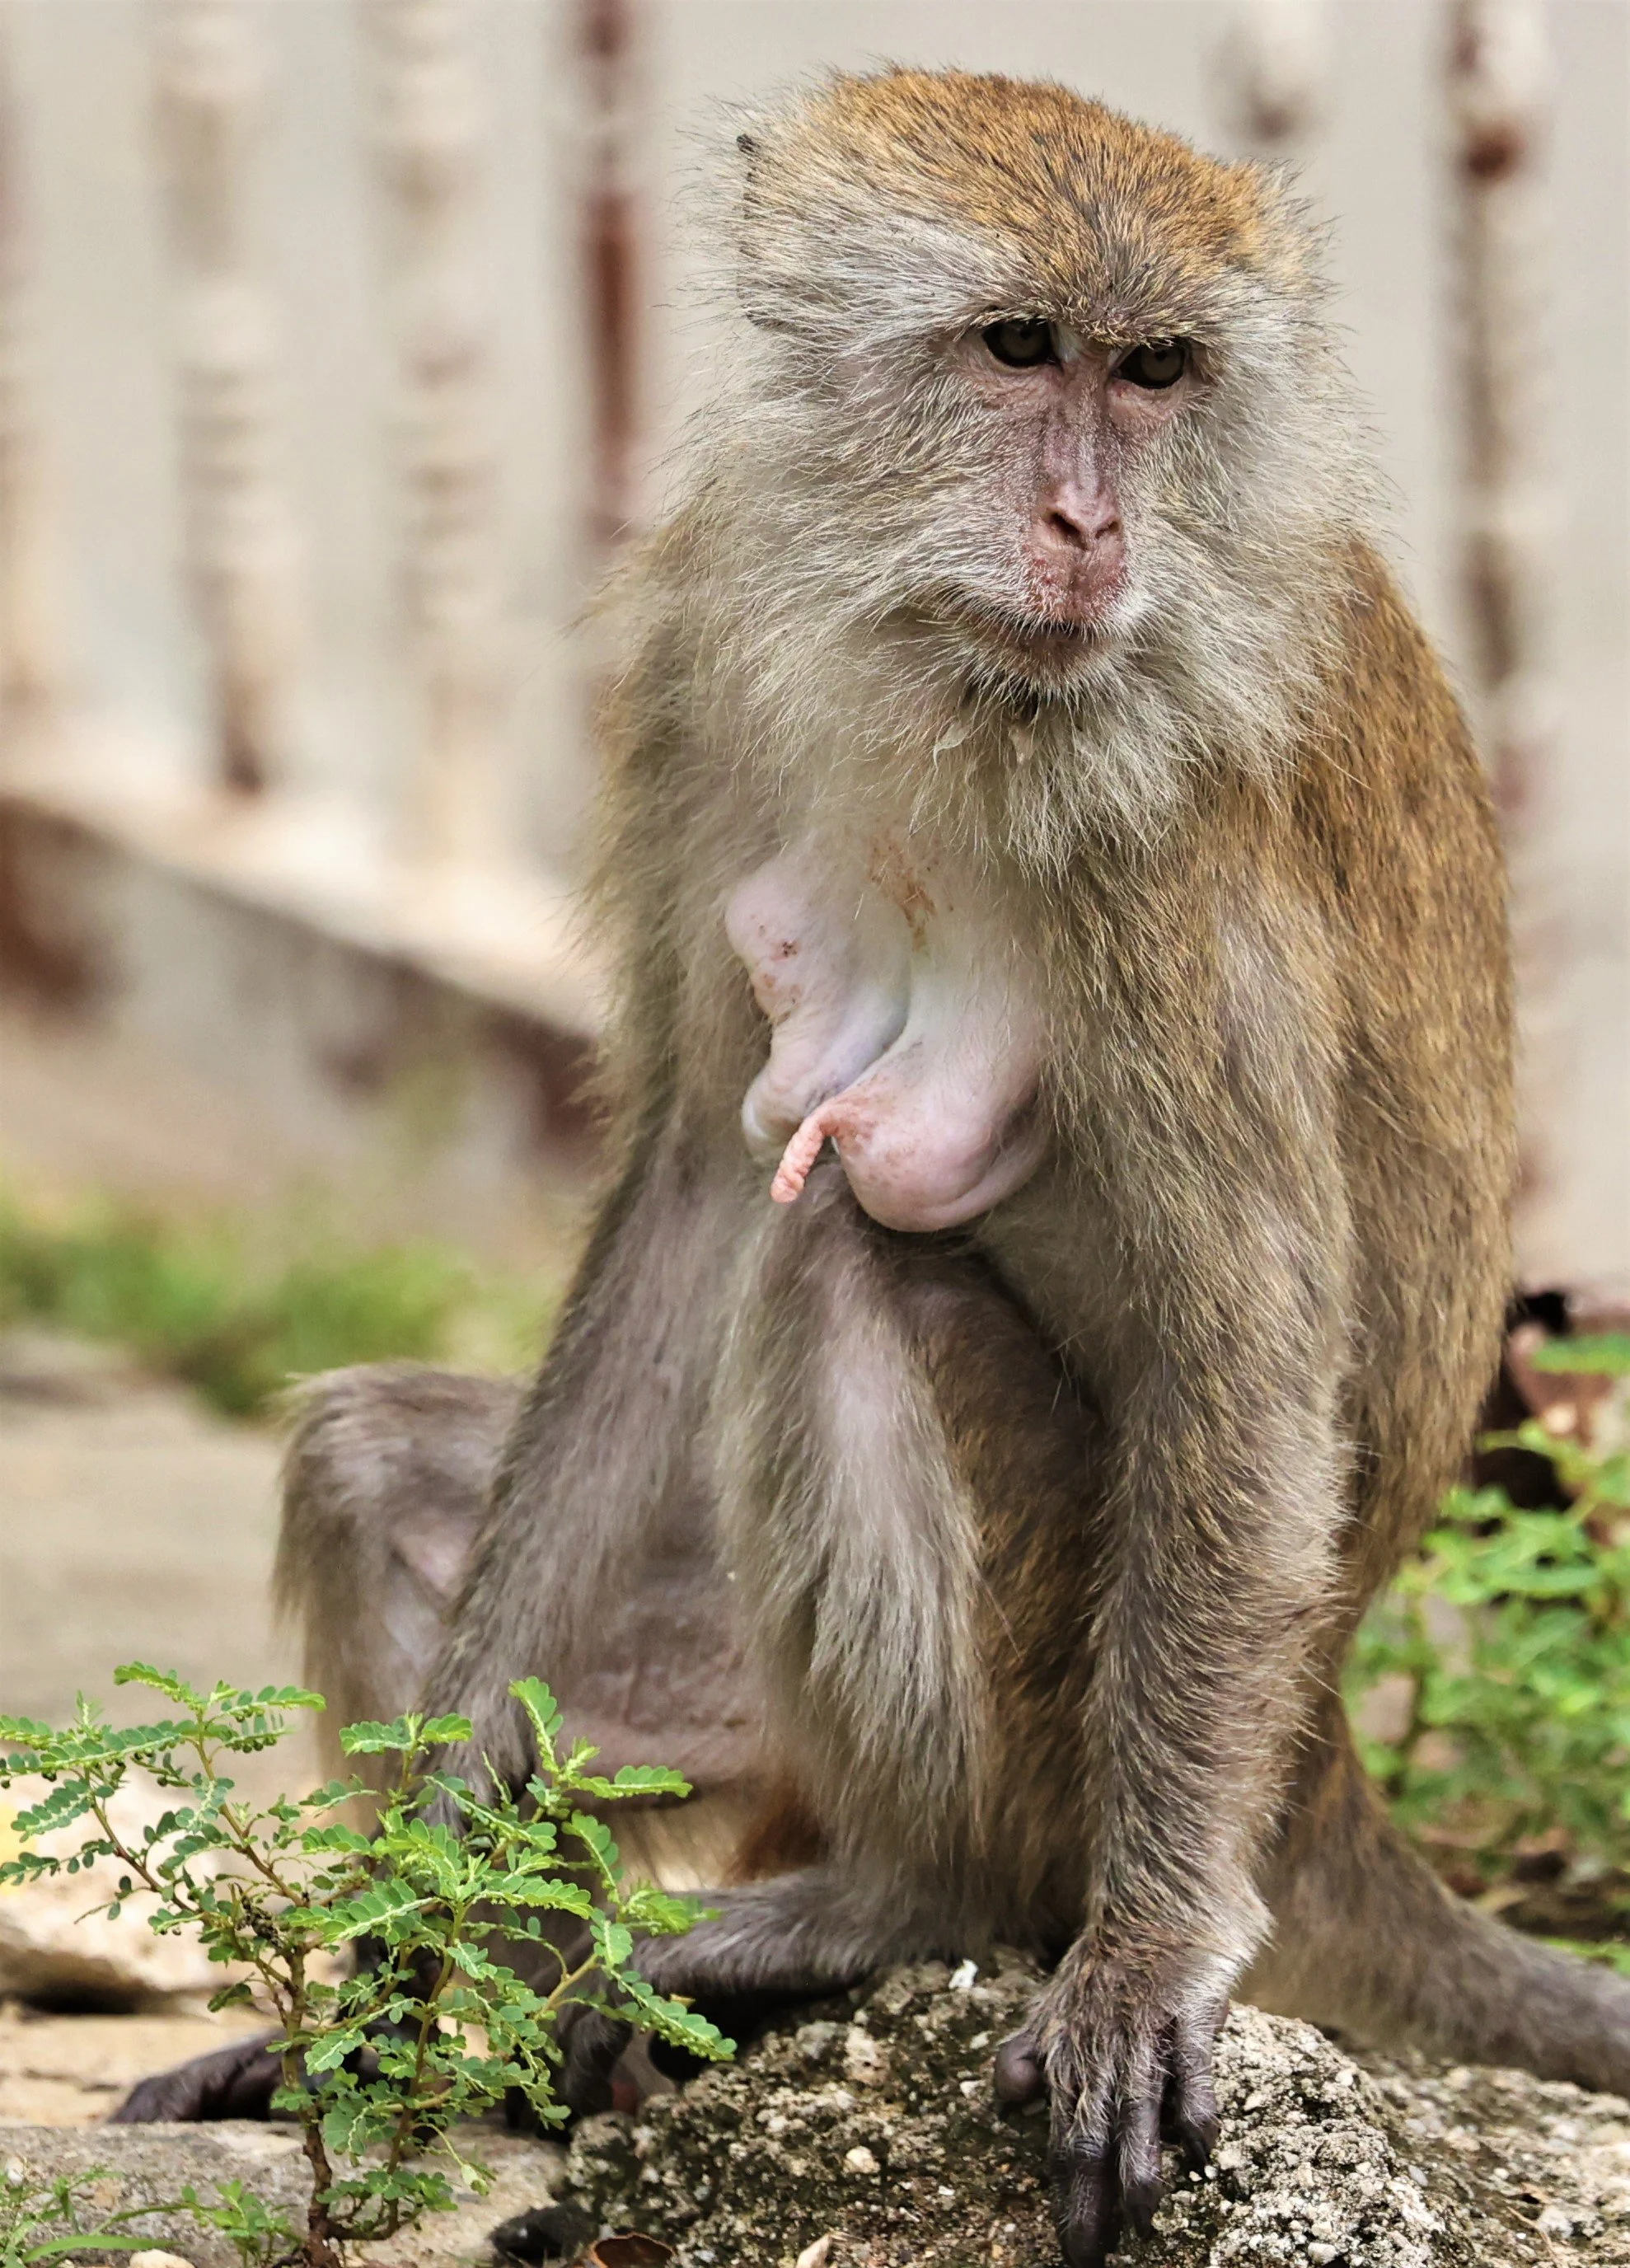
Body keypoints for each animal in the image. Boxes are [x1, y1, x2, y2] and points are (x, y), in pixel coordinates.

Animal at [115, 69, 1630, 2268]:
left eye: (1152, 374)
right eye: (1017, 349)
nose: (1089, 525)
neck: (946, 666)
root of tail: (1327, 1754)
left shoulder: (1163, 842)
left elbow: (1241, 1341)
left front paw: (1140, 1965)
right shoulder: (701, 675)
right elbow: (680, 1189)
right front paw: (413, 1938)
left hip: (1081, 1717)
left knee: (849, 1267)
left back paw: (920, 1903)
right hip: (735, 1719)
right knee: (377, 1455)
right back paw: (536, 2022)